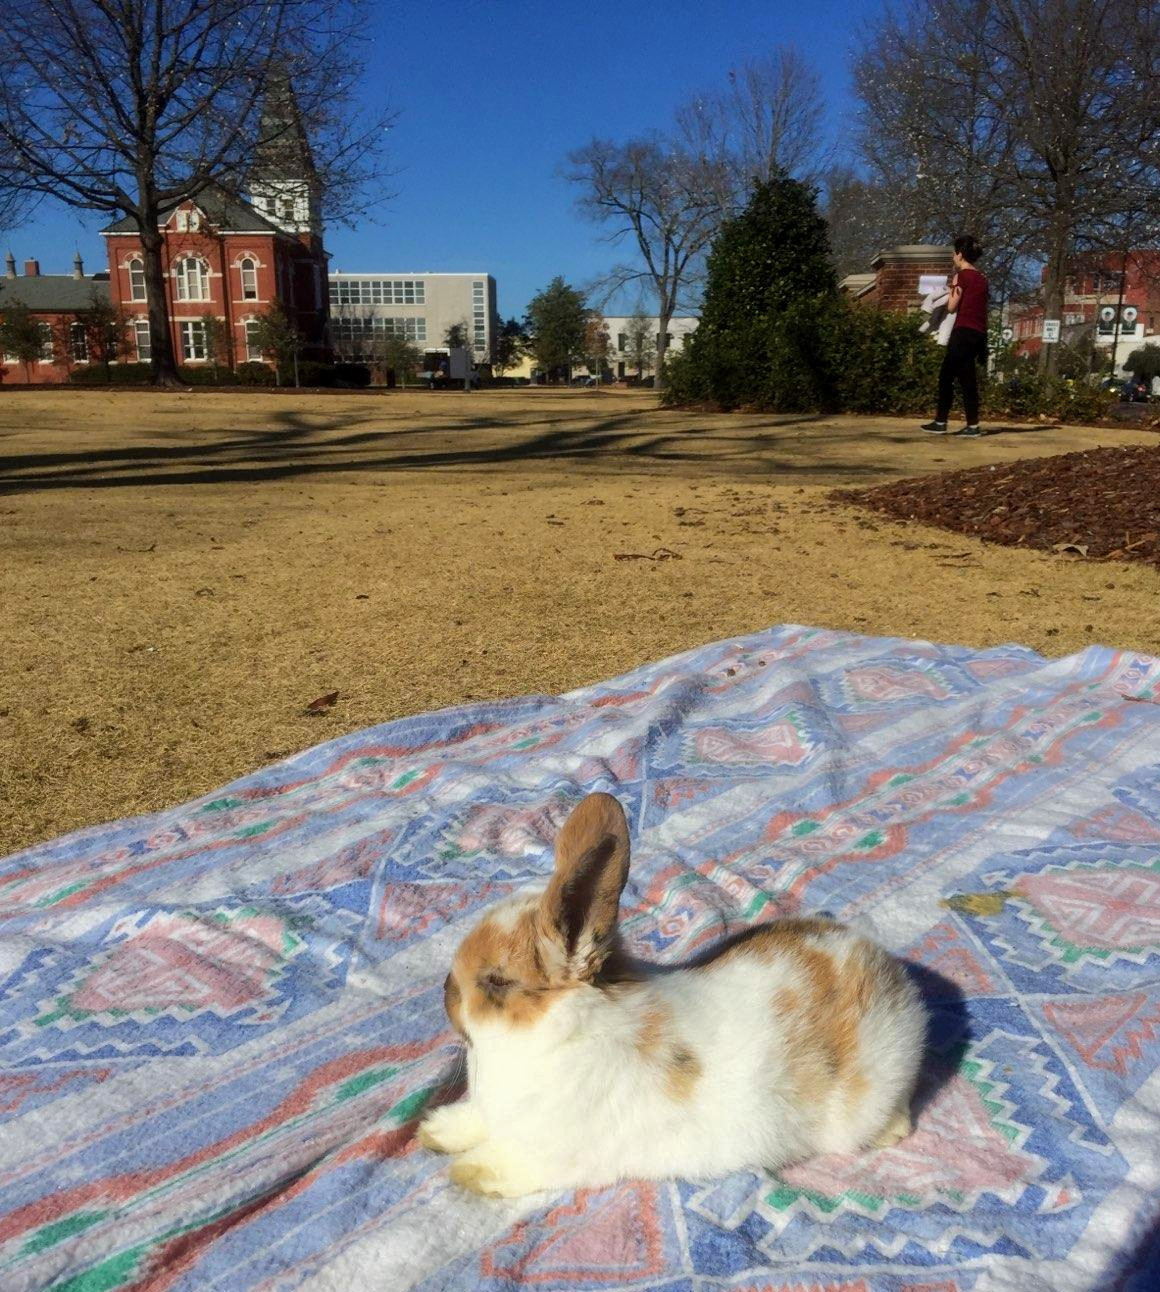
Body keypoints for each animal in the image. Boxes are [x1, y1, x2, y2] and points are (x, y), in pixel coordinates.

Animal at [418, 792, 927, 1198]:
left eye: (497, 982)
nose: (444, 994)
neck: (557, 1030)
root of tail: (885, 969)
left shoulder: (549, 1152)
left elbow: (508, 1162)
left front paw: (467, 1172)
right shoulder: (494, 1112)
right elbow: (473, 1119)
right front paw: (433, 1131)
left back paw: (892, 1132)